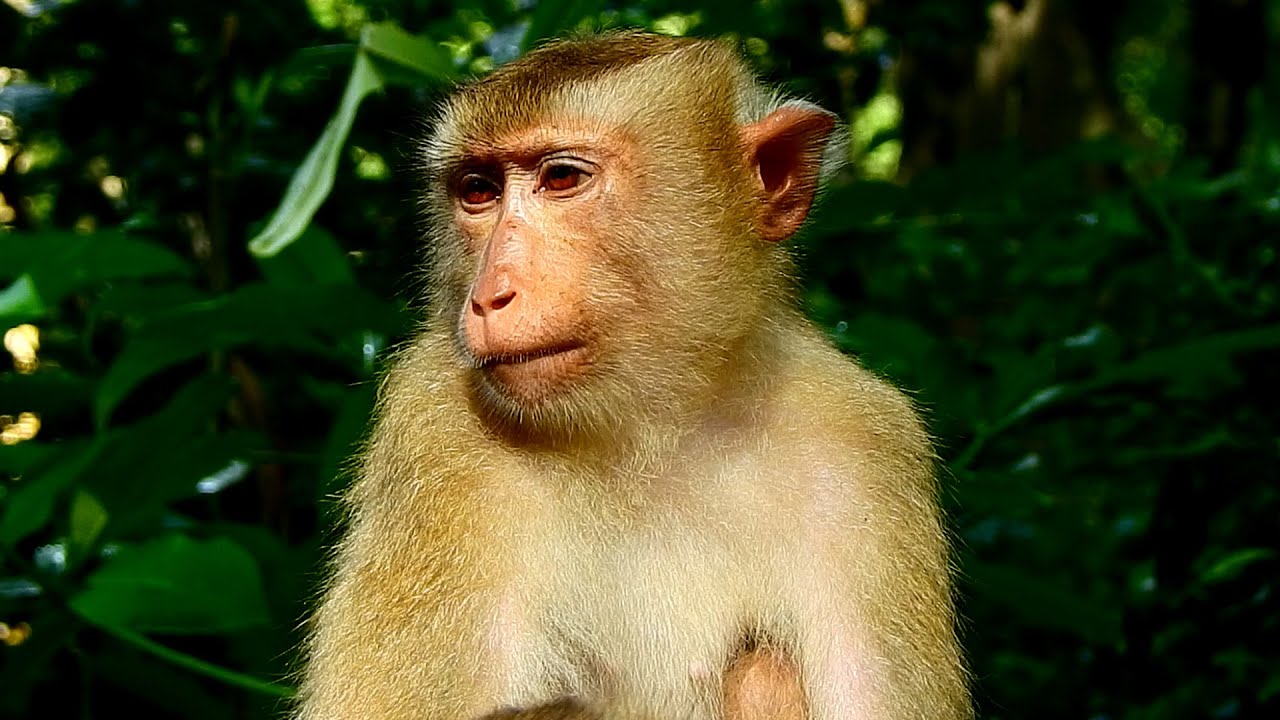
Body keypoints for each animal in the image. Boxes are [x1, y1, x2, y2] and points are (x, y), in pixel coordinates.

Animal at [296, 31, 970, 720]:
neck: (653, 430)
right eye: (478, 190)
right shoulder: (433, 435)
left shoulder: (862, 448)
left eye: (562, 178)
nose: (490, 294)